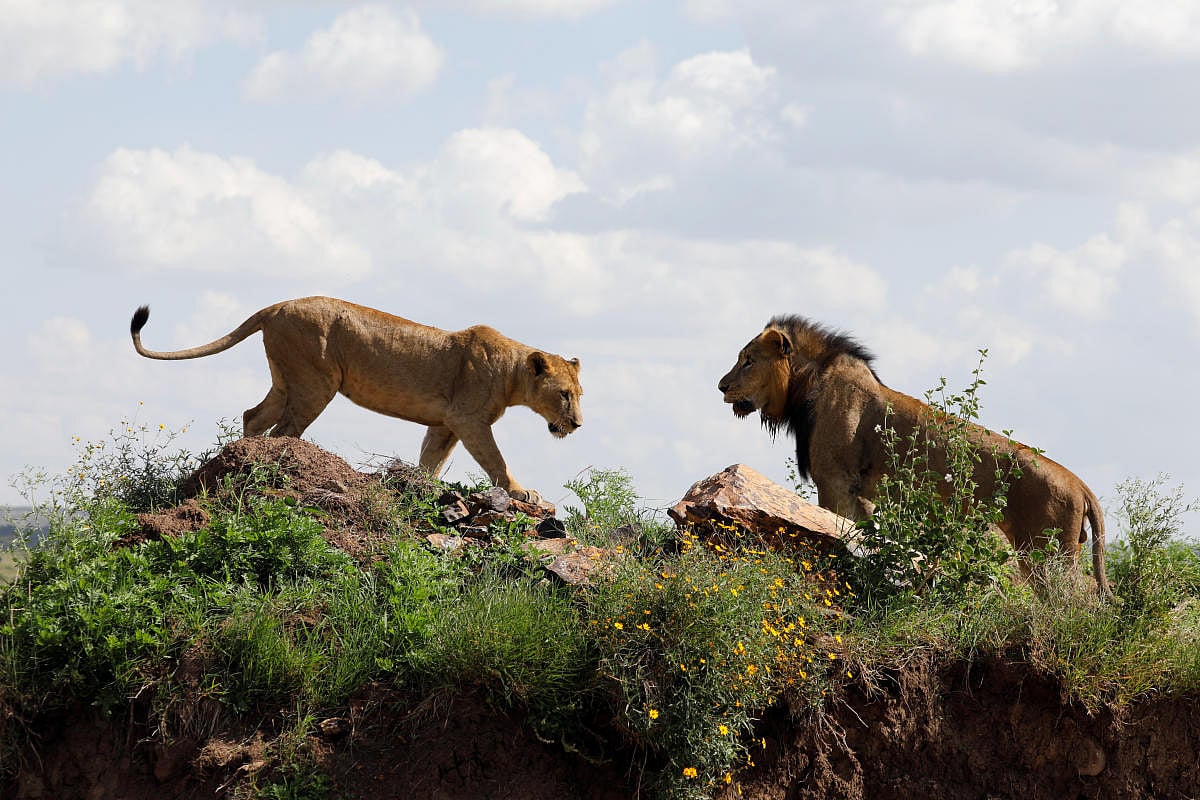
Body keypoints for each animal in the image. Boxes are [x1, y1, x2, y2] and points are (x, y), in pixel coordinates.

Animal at [130, 296, 583, 504]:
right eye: (564, 395)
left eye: (580, 395)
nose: (578, 424)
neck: (512, 373)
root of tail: (277, 306)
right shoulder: (468, 419)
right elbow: (495, 459)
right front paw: (521, 492)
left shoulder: (444, 424)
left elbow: (431, 460)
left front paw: (420, 487)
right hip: (316, 382)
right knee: (284, 431)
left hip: (286, 381)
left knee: (254, 416)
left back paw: (243, 455)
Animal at [718, 314, 1109, 594]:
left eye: (748, 361)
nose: (721, 386)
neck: (805, 388)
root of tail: (1080, 484)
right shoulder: (859, 492)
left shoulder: (835, 481)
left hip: (1048, 554)